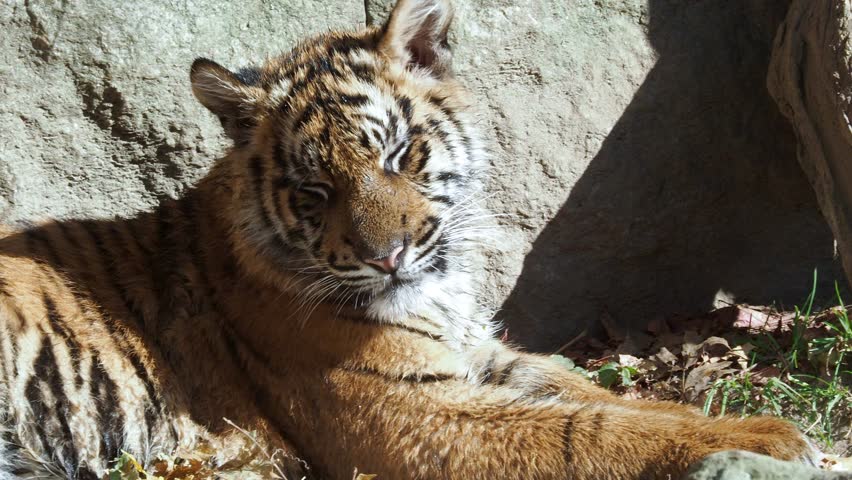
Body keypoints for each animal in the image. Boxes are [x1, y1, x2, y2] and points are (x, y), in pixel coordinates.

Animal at [0, 0, 818, 478]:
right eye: (314, 192)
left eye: (397, 156)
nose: (386, 257)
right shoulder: (411, 415)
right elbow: (583, 429)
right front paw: (765, 442)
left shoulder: (475, 353)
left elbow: (589, 391)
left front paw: (747, 426)